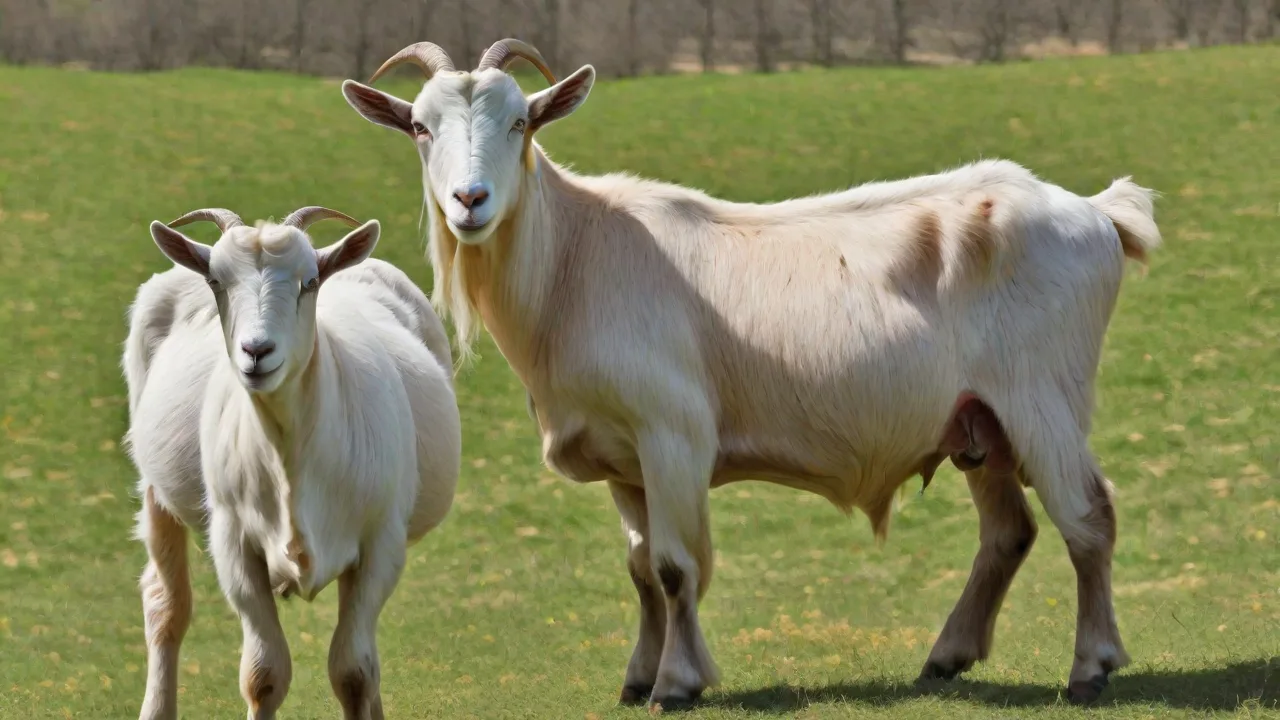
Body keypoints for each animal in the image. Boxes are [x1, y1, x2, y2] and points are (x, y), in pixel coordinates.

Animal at [123, 206, 460, 720]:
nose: (257, 351)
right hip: (154, 486)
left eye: (310, 281)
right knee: (166, 606)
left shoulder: (381, 540)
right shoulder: (234, 540)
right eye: (216, 280)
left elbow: (354, 673)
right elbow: (263, 675)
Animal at [342, 39, 1161, 709]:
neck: (576, 259)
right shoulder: (621, 457)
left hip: (1041, 397)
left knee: (1087, 517)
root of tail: (1095, 212)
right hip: (977, 416)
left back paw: (1090, 666)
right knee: (1009, 531)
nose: (469, 201)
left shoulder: (672, 433)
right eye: (420, 127)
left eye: (522, 123)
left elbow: (676, 566)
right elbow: (641, 570)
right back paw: (947, 656)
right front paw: (638, 676)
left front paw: (678, 683)